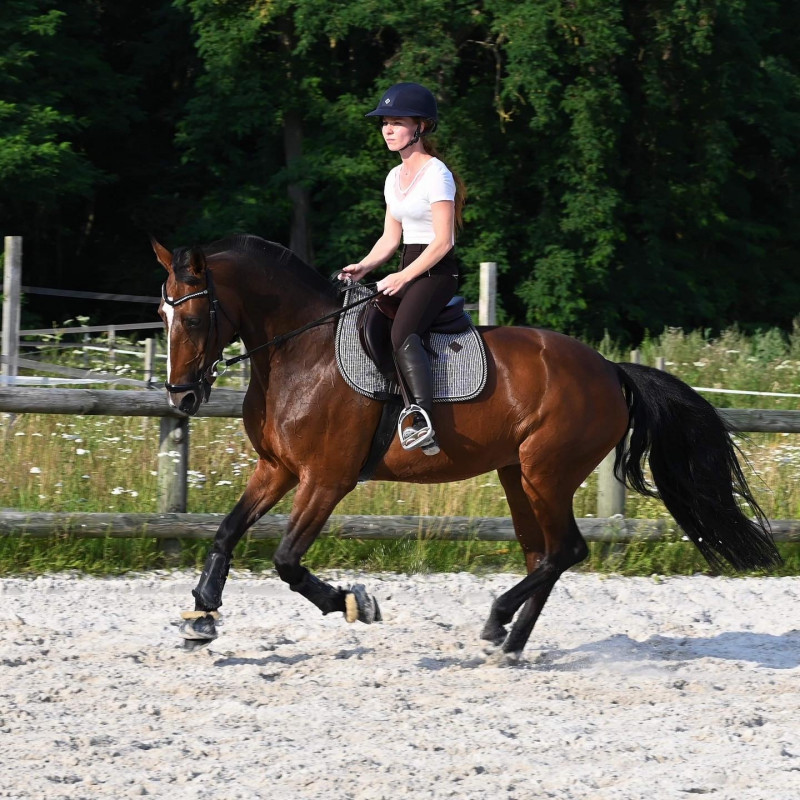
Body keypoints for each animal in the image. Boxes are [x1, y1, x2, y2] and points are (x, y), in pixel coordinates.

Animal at [153, 234, 781, 659]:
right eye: (163, 313)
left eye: (196, 315)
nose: (182, 396)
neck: (298, 352)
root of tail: (609, 369)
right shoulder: (278, 468)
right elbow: (226, 532)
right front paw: (201, 615)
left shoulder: (326, 480)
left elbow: (286, 560)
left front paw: (357, 603)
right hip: (517, 476)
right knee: (544, 554)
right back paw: (510, 641)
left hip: (546, 472)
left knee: (566, 550)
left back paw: (500, 622)